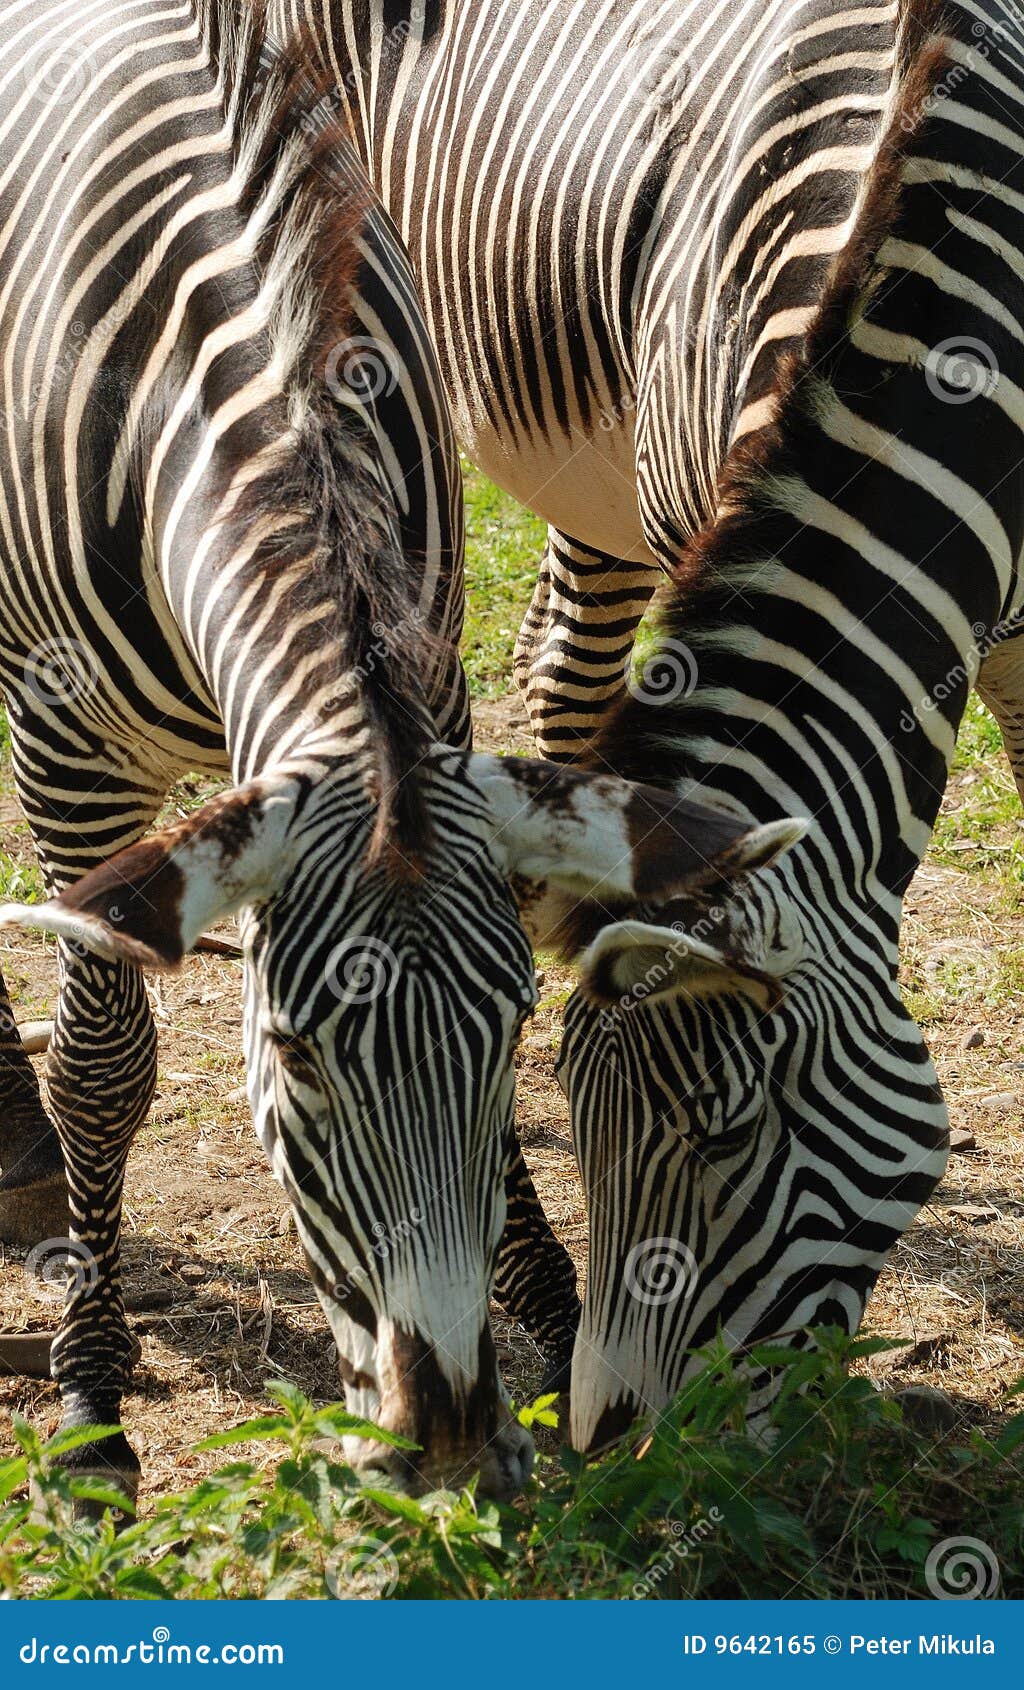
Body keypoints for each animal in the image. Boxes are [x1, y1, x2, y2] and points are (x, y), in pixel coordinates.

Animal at [0, 0, 780, 1495]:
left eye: (514, 1029)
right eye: (292, 1055)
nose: (454, 1442)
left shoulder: (436, 684)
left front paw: (546, 1304)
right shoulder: (69, 754)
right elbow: (106, 1062)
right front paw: (90, 1401)